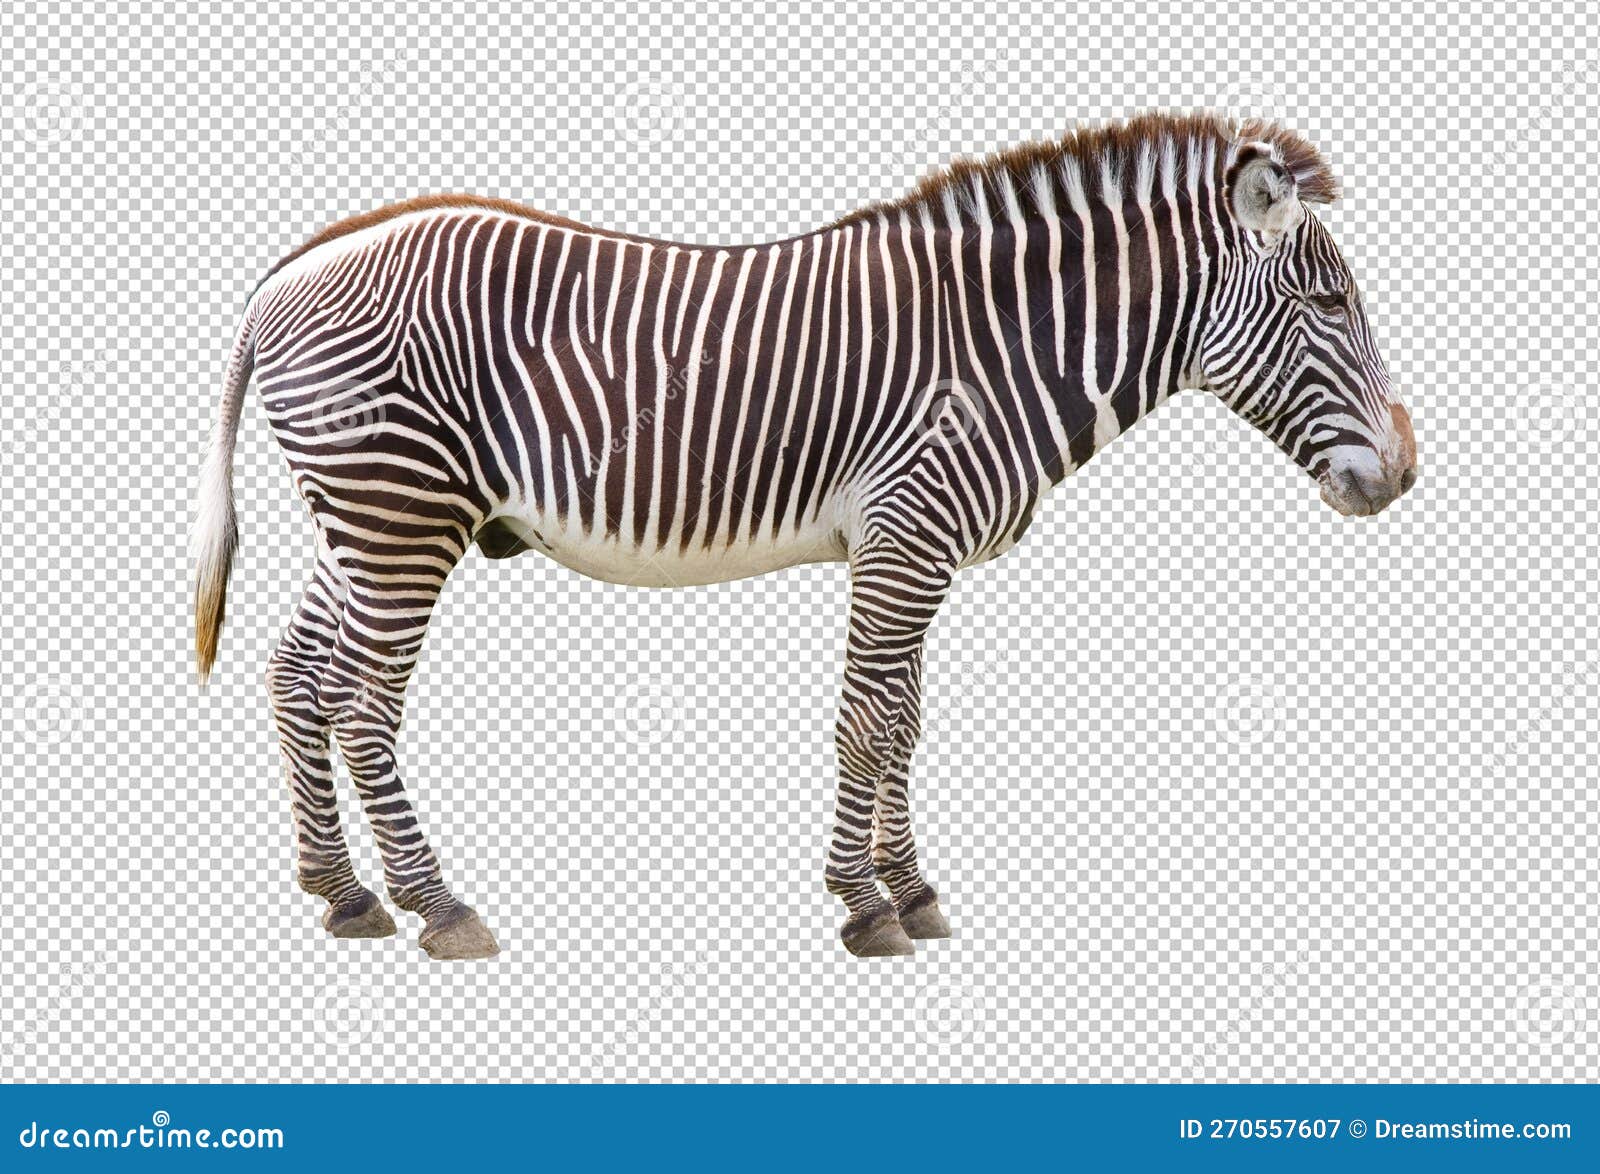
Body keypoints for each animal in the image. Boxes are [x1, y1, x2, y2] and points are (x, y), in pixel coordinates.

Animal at [193, 113, 1417, 959]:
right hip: (402, 515)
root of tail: (292, 264)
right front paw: (867, 907)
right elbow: (868, 721)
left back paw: (344, 893)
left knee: (297, 675)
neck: (1003, 349)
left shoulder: (915, 552)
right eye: (1326, 305)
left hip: (357, 522)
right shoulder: (905, 533)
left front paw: (911, 889)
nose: (1403, 476)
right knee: (361, 698)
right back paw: (437, 905)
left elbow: (906, 722)